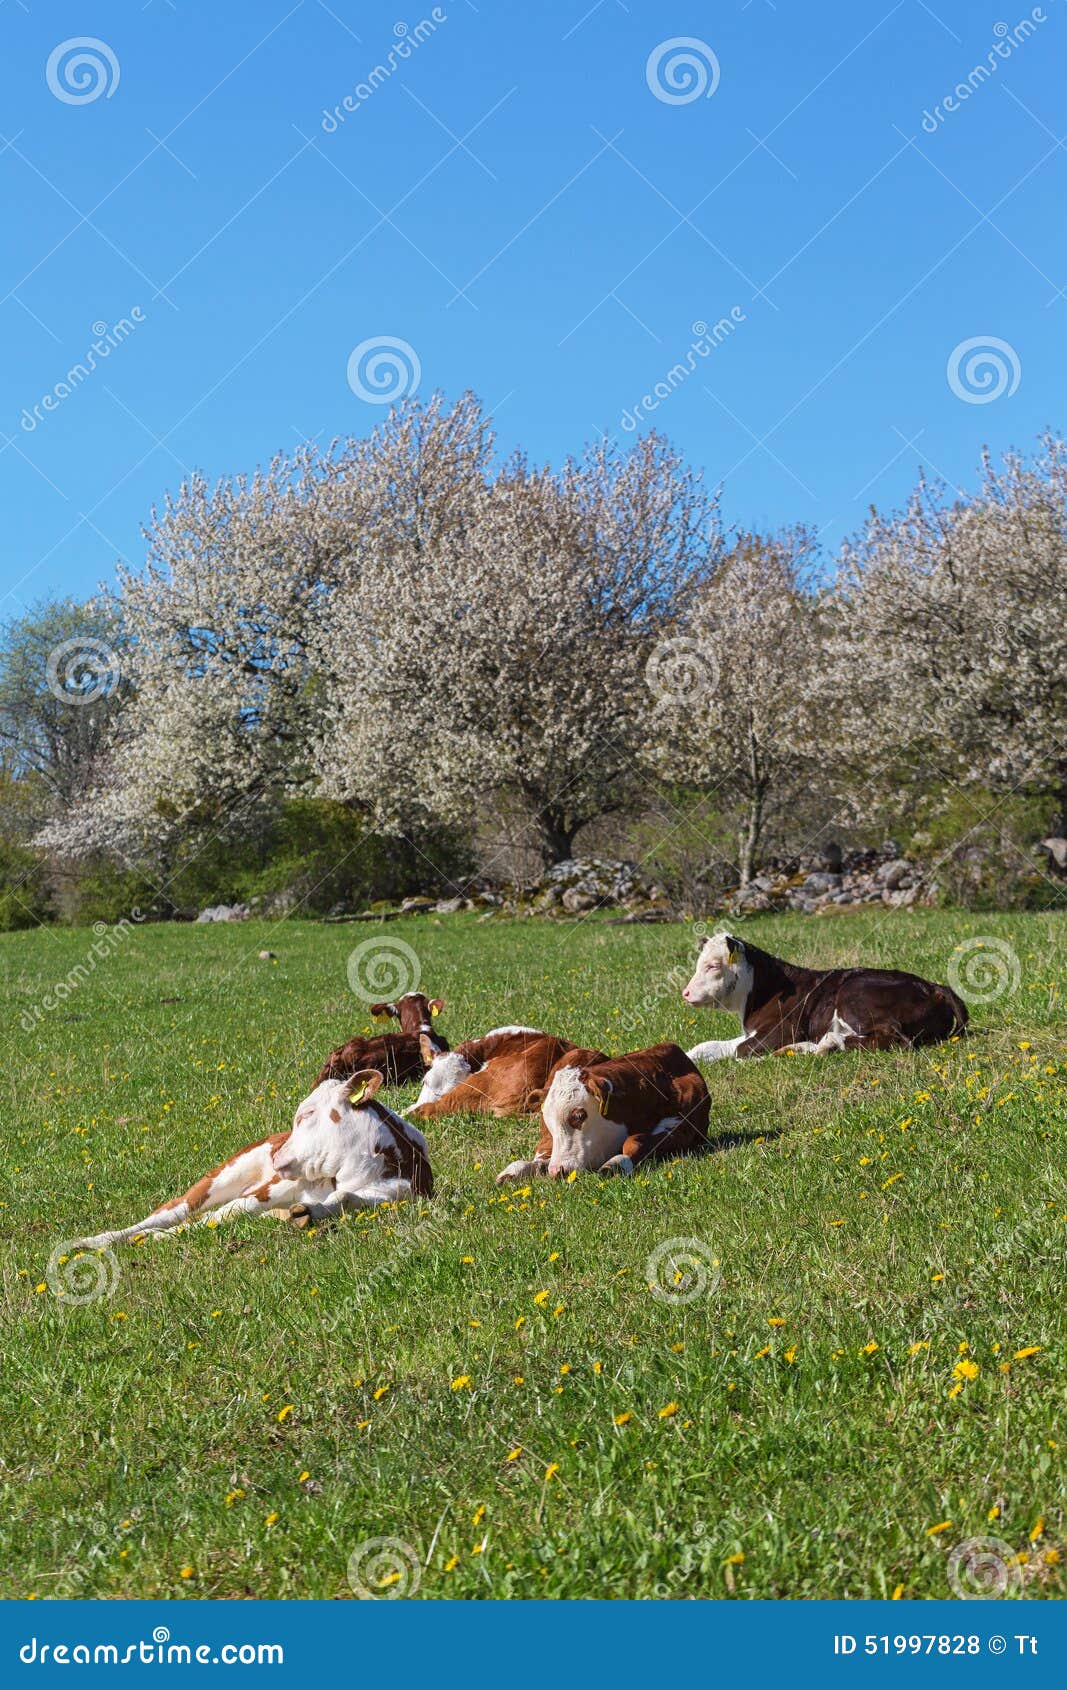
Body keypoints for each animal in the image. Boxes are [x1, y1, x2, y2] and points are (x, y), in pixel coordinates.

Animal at [70, 1069, 432, 1247]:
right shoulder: (272, 1188)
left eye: (306, 1114)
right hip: (220, 1178)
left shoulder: (396, 1193)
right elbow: (223, 1215)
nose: (279, 1156)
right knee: (172, 1212)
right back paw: (94, 1240)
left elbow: (343, 1199)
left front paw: (307, 1213)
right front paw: (157, 1237)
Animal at [496, 1041, 710, 1182]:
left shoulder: (681, 1125)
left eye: (579, 1116)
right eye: (546, 1119)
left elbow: (635, 1141)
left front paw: (615, 1163)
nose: (557, 1170)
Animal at [683, 930, 968, 1061]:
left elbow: (741, 1050)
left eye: (713, 966)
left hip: (854, 995)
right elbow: (710, 1045)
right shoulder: (752, 1031)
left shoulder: (782, 1029)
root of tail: (934, 985)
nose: (685, 993)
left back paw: (824, 1044)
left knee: (894, 1039)